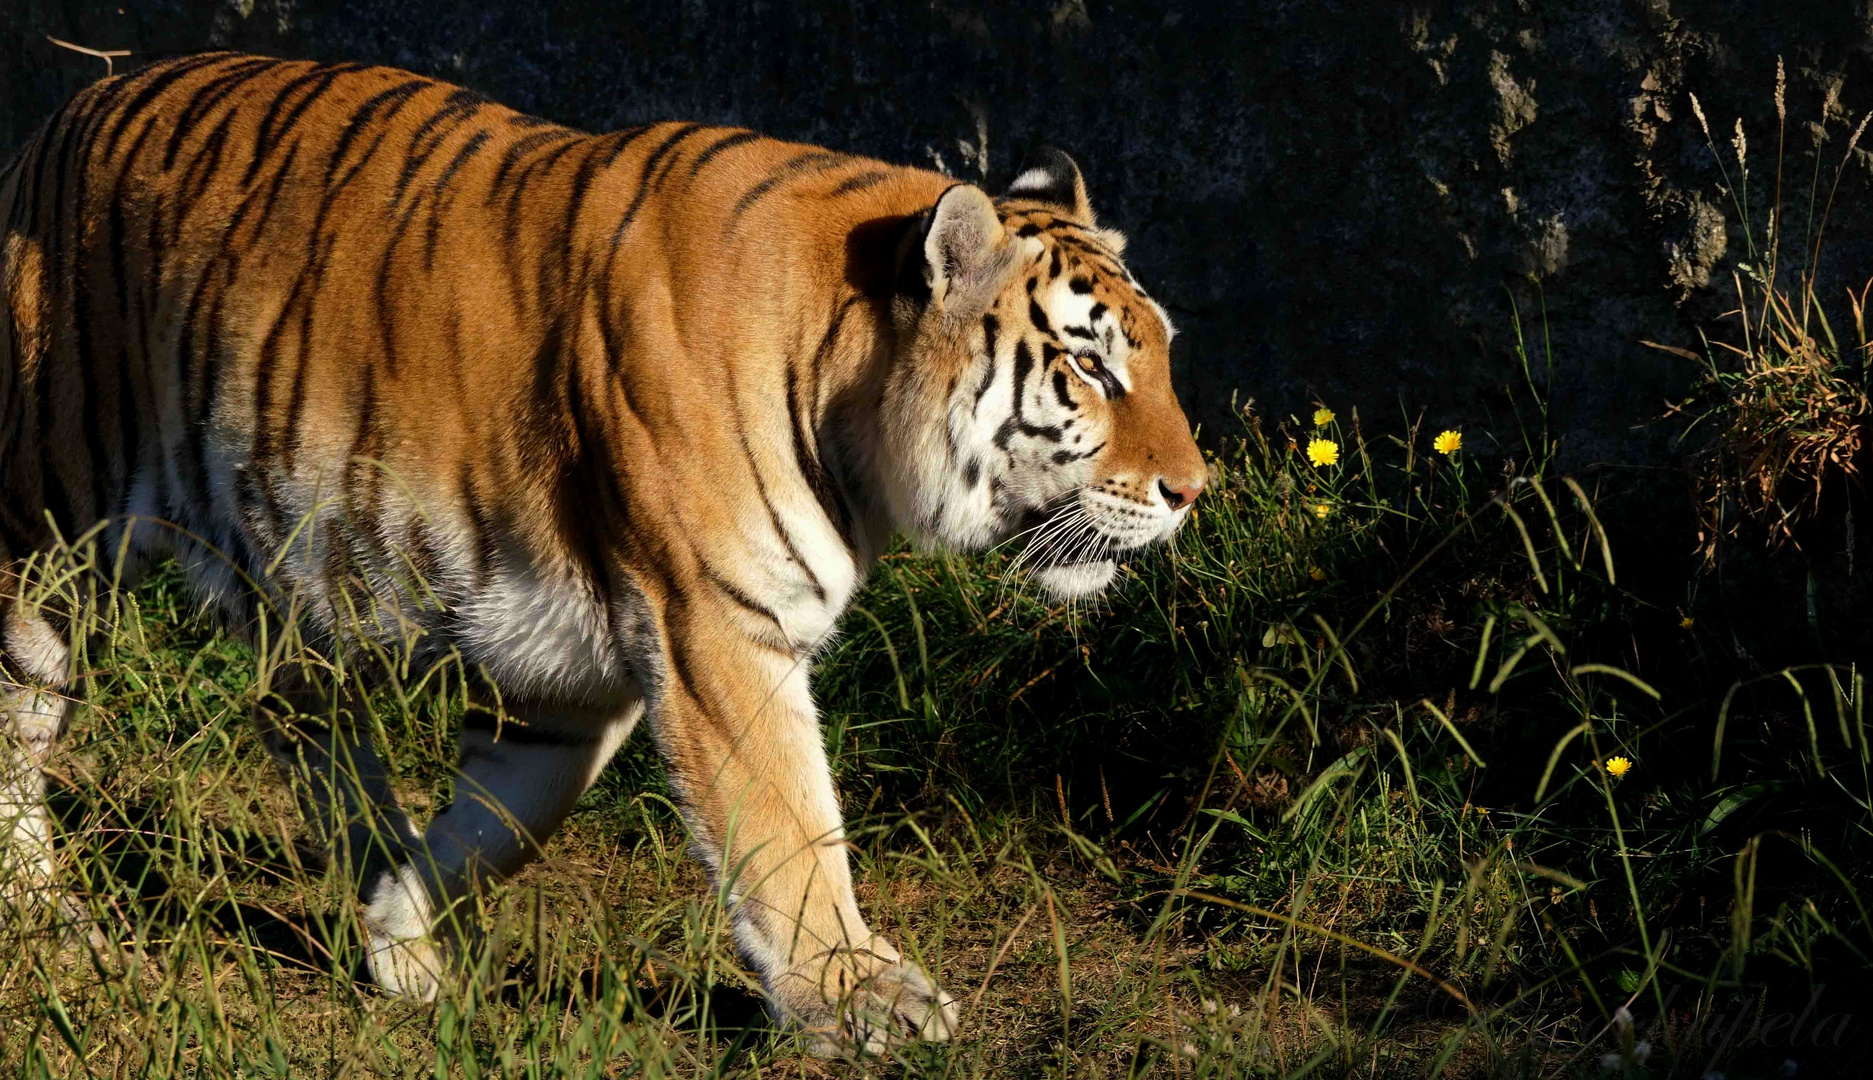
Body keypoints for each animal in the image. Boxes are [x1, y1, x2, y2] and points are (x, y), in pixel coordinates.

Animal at [0, 53, 1206, 1054]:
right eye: (1091, 369)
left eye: (1161, 357)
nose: (1194, 491)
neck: (850, 383)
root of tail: (63, 110)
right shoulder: (714, 628)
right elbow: (788, 825)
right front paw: (859, 996)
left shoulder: (577, 674)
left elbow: (506, 819)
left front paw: (402, 943)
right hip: (47, 527)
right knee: (21, 721)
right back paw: (51, 927)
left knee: (294, 710)